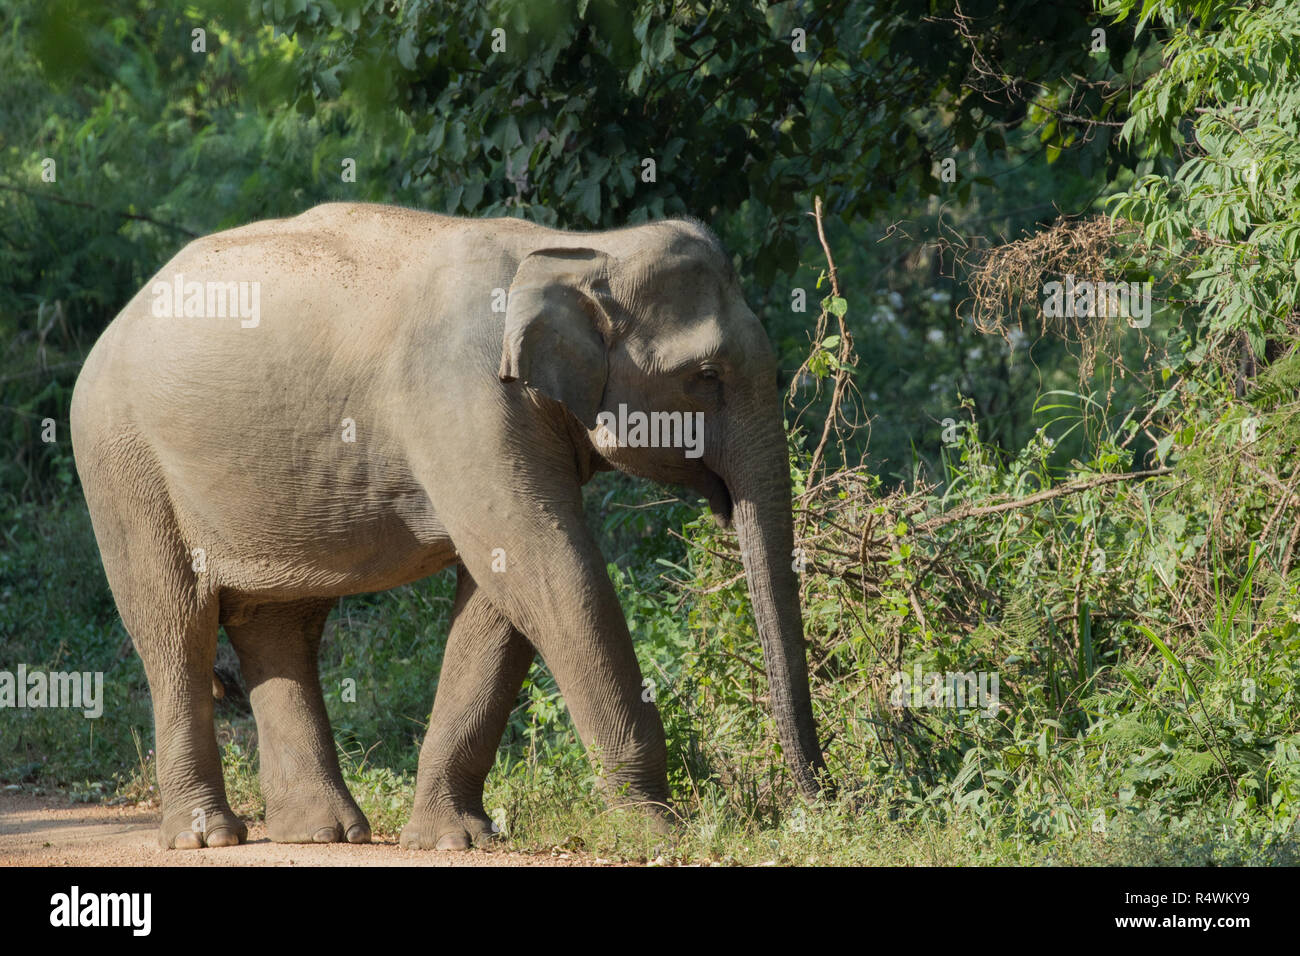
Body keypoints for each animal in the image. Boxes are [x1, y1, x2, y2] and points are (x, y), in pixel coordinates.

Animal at [70, 202, 829, 850]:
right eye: (707, 375)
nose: (815, 804)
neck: (576, 247)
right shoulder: (465, 397)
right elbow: (550, 567)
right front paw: (658, 831)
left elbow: (506, 590)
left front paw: (452, 840)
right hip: (122, 464)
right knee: (176, 627)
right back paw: (208, 837)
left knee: (280, 625)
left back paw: (323, 833)